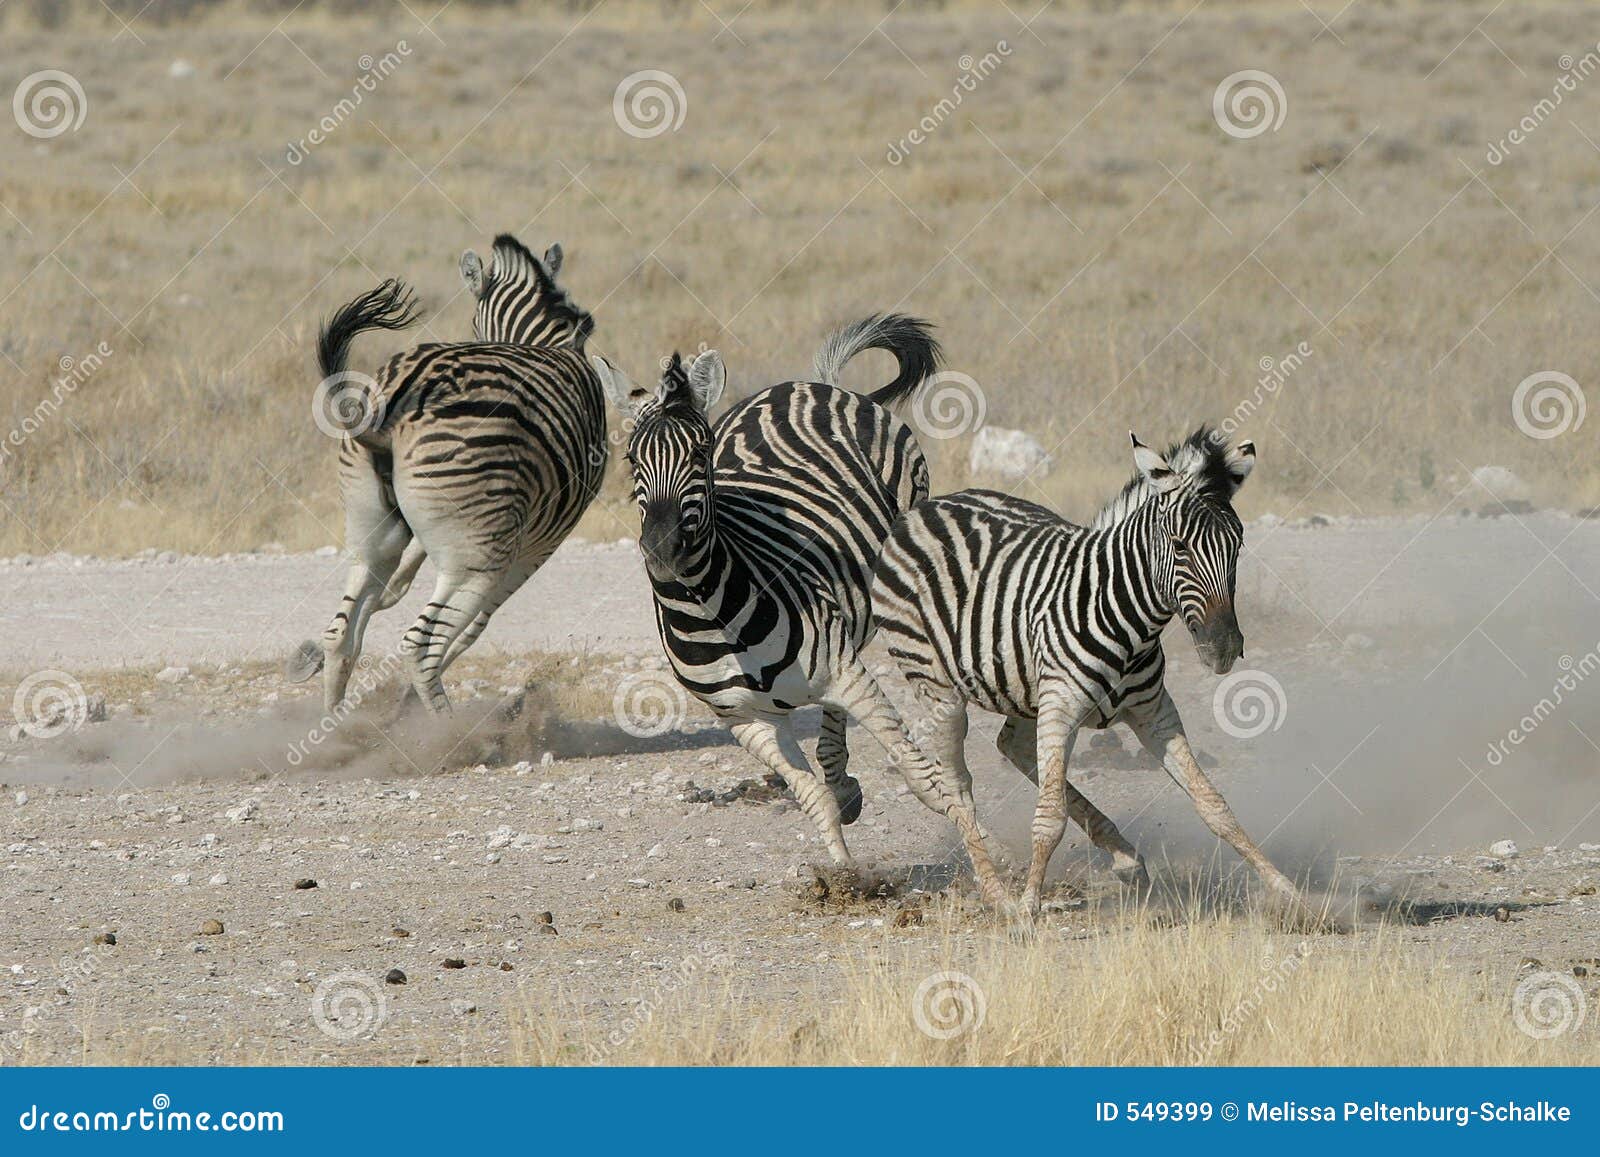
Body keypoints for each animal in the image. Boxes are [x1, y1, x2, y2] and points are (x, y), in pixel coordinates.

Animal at [288, 234, 607, 715]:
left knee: (341, 633)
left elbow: (402, 589)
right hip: (477, 556)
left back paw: (335, 725)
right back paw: (442, 728)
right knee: (423, 646)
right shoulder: (535, 547)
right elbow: (474, 628)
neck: (548, 342)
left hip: (372, 530)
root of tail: (390, 409)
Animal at [590, 318, 1003, 893]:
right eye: (632, 460)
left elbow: (924, 780)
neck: (710, 615)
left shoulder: (843, 671)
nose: (662, 550)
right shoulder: (745, 720)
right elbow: (811, 799)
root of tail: (814, 384)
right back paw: (844, 785)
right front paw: (846, 880)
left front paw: (996, 882)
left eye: (701, 454)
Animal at [871, 428, 1315, 920]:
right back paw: (997, 894)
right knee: (958, 783)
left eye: (1237, 546)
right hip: (937, 684)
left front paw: (1291, 893)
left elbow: (1213, 803)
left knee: (1013, 745)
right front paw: (1028, 908)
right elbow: (1049, 817)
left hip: (1030, 692)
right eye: (1180, 546)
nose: (1224, 649)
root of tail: (927, 505)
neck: (1131, 621)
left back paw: (1124, 858)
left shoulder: (1154, 712)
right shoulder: (1063, 704)